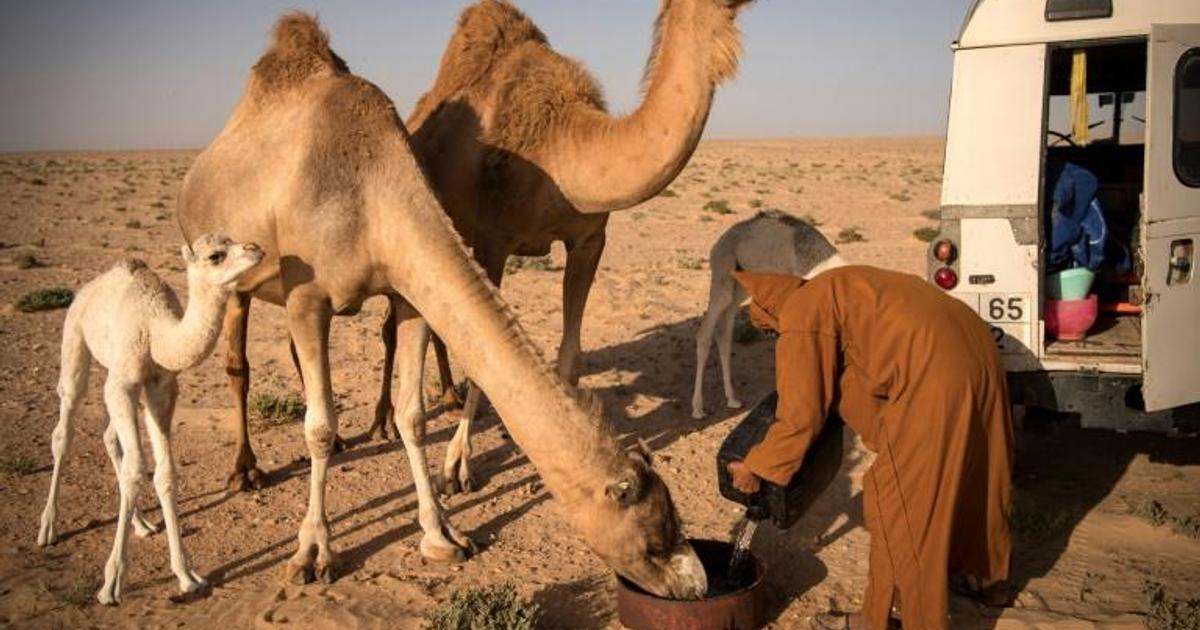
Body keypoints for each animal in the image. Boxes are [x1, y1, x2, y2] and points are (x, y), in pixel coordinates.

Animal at [38, 234, 263, 604]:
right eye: (216, 255)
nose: (256, 249)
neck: (157, 333)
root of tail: (89, 288)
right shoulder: (123, 384)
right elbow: (136, 469)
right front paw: (111, 583)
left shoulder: (162, 388)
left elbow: (165, 473)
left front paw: (187, 575)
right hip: (75, 340)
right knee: (64, 430)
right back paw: (48, 529)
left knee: (109, 437)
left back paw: (142, 524)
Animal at [176, 14, 707, 598]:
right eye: (656, 538)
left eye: (675, 519)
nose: (697, 585)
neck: (371, 191)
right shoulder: (306, 297)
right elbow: (316, 426)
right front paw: (313, 550)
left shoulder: (409, 293)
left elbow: (413, 414)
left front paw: (440, 534)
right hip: (230, 277)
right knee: (239, 364)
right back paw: (246, 470)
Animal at [390, 0, 757, 495]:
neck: (561, 147)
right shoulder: (492, 241)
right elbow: (483, 352)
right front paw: (458, 466)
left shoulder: (589, 240)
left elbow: (570, 355)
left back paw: (450, 396)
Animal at [691, 210, 846, 419]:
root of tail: (721, 240)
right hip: (722, 273)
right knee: (705, 334)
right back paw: (698, 409)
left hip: (740, 288)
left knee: (724, 333)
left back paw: (732, 399)